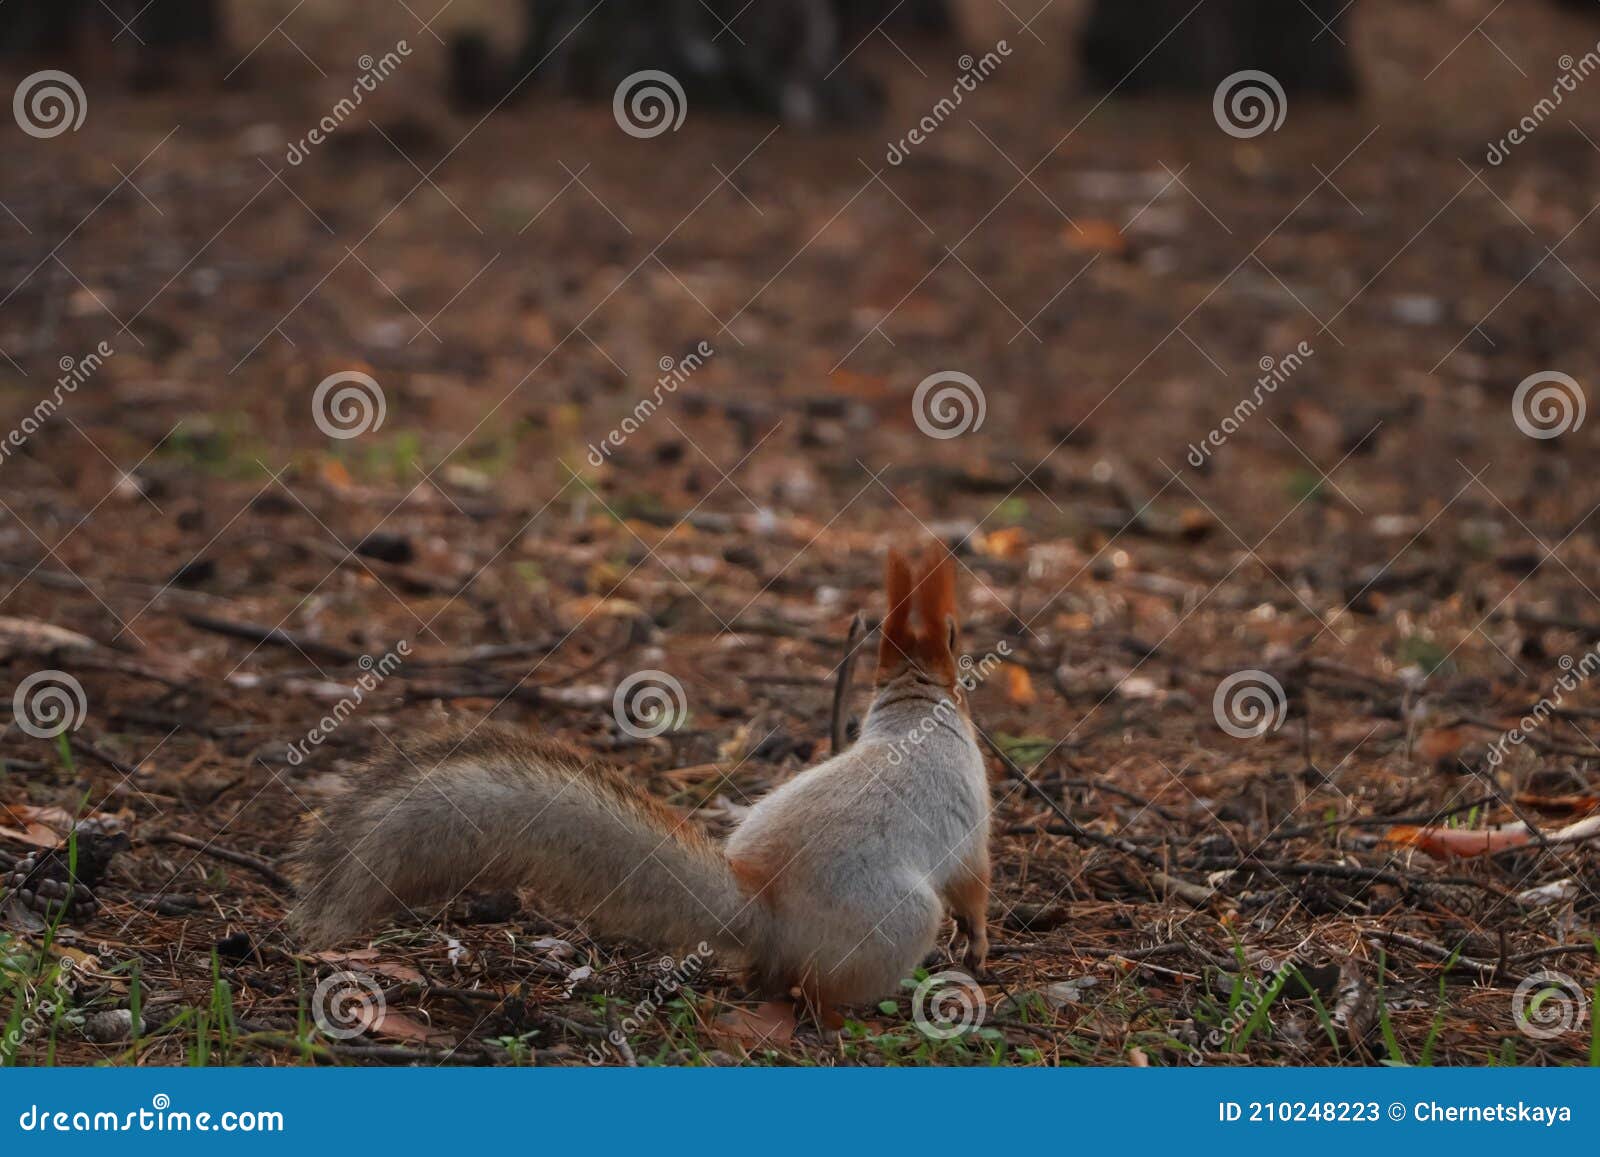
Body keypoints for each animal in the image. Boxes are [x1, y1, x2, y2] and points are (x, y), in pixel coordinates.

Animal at [288, 546, 992, 1016]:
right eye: (957, 634)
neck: (911, 710)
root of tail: (764, 908)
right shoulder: (972, 826)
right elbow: (974, 885)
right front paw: (979, 948)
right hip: (899, 921)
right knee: (815, 994)